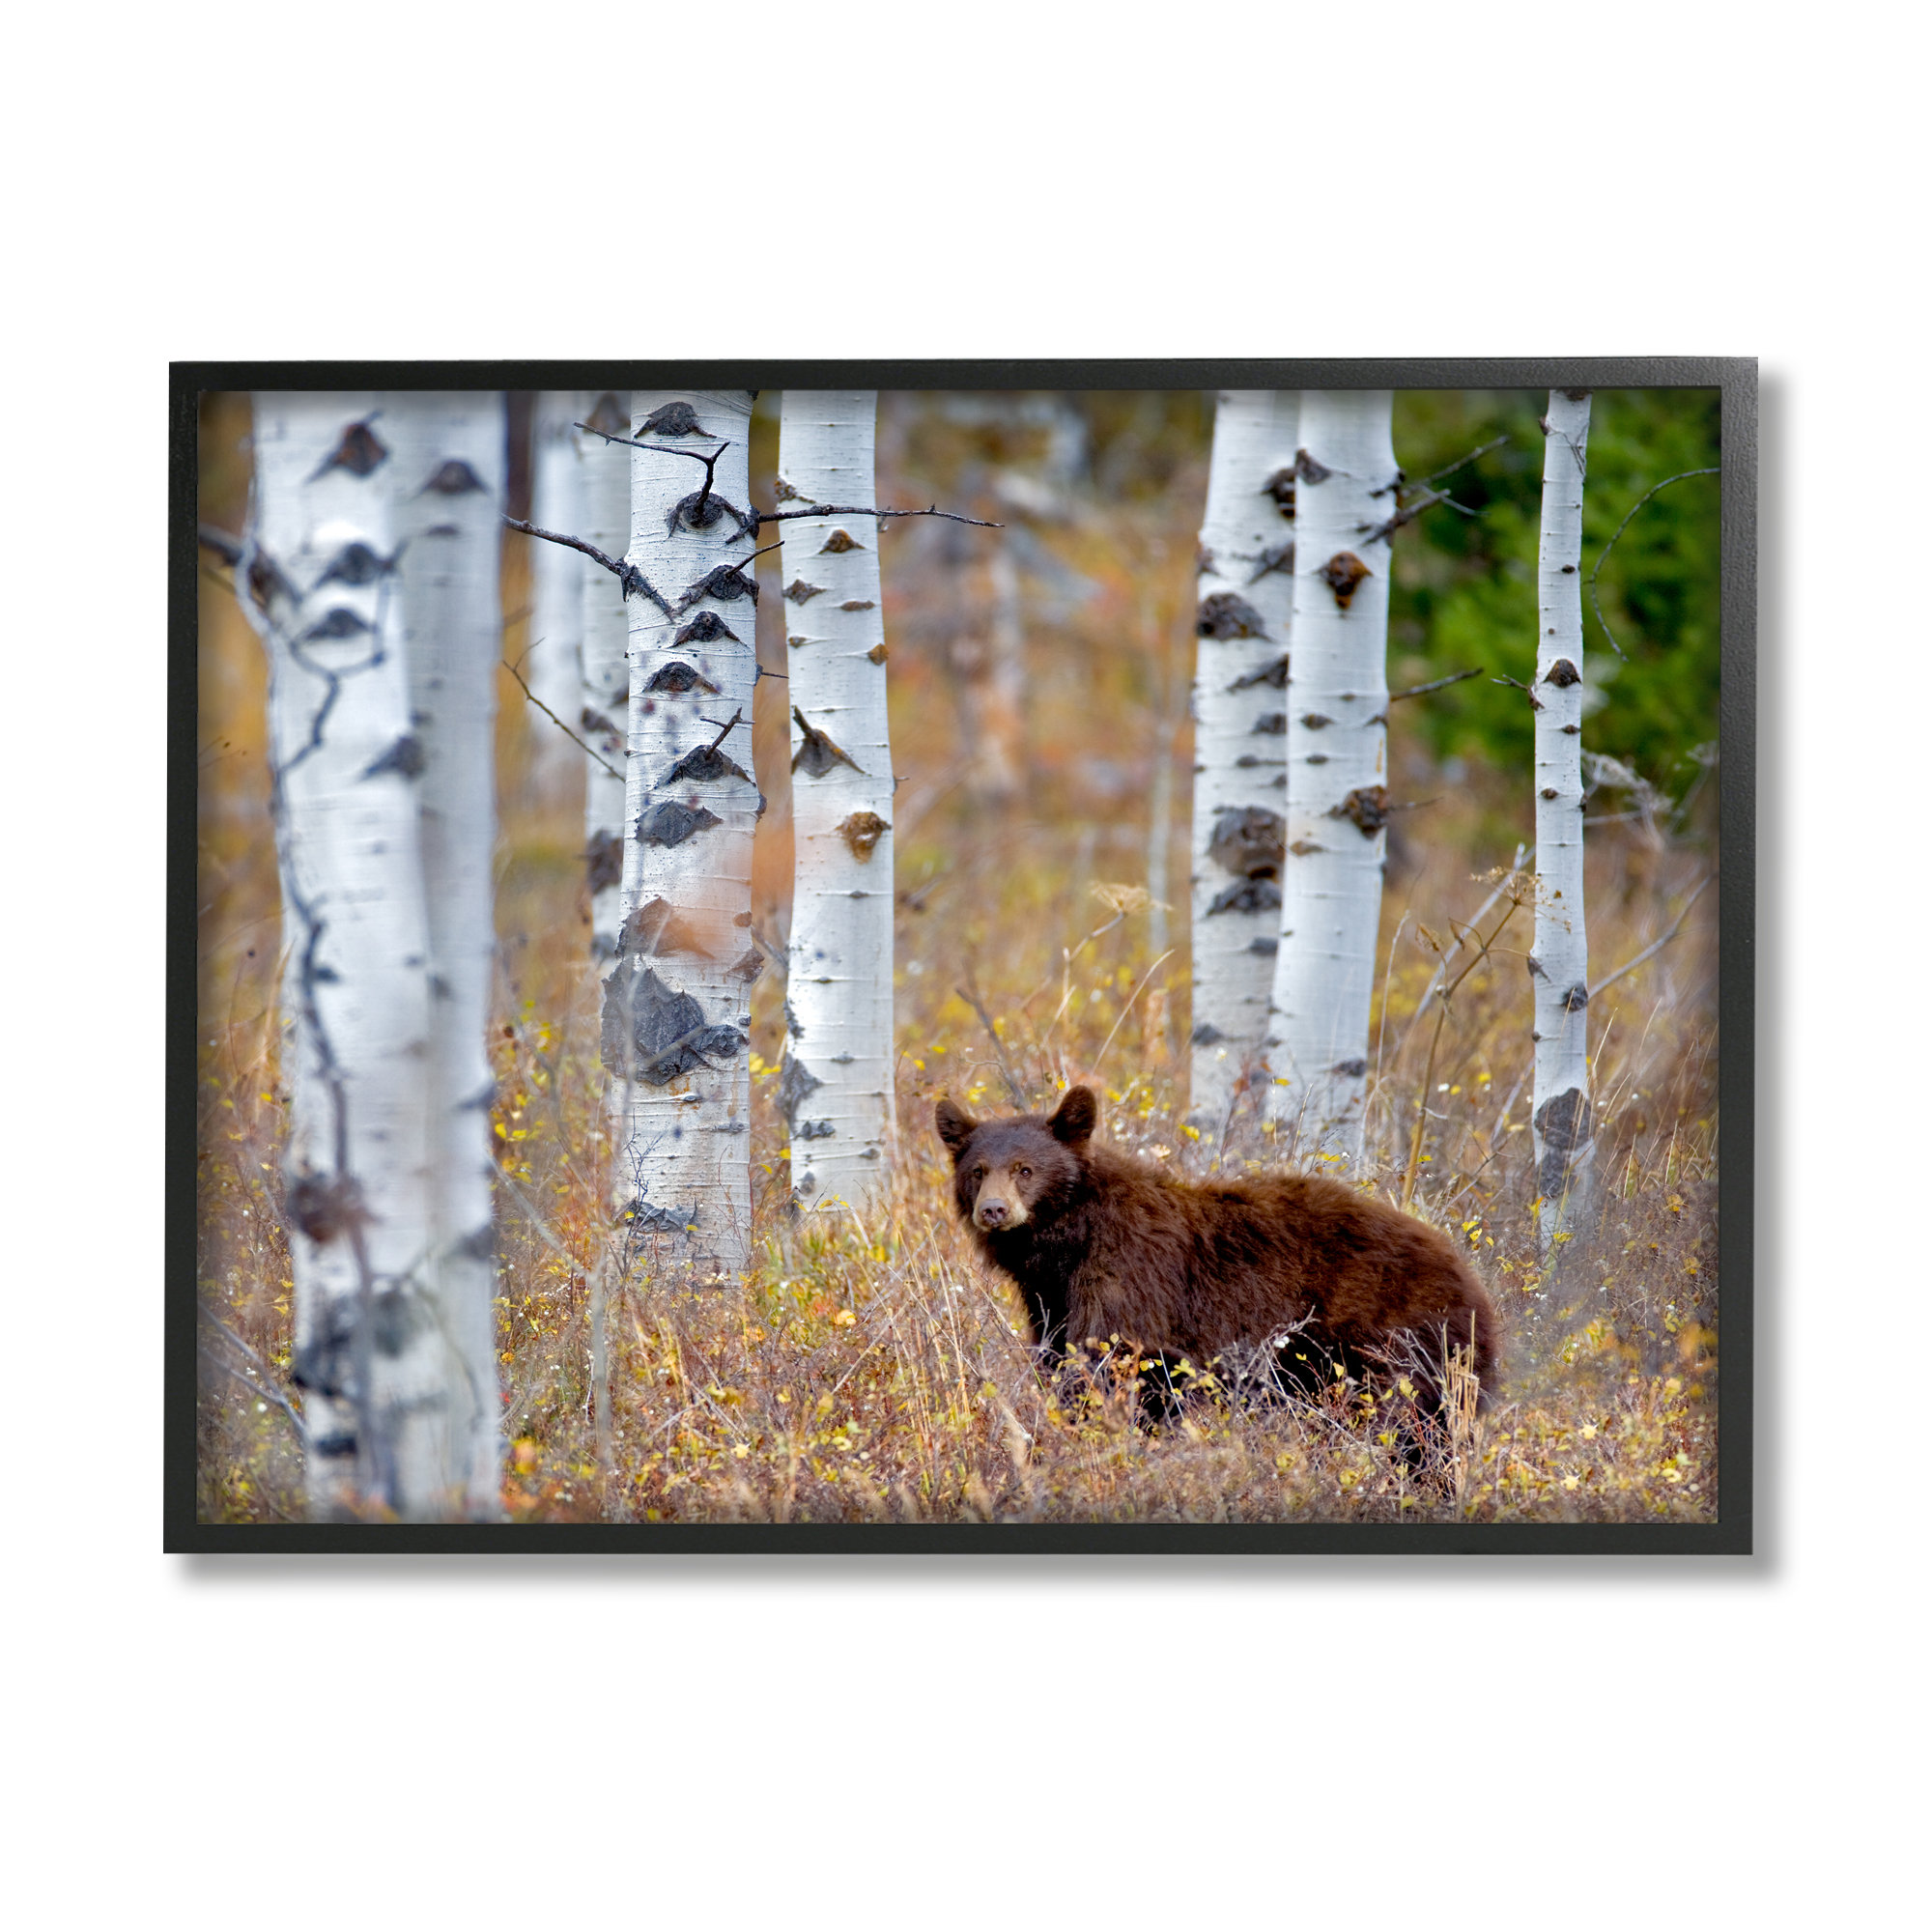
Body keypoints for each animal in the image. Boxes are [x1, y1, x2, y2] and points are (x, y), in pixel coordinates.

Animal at [935, 1085, 1498, 1426]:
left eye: (1025, 1169)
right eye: (977, 1171)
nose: (994, 1210)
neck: (1068, 1242)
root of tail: (1471, 1282)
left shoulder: (1130, 1279)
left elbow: (1109, 1361)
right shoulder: (1049, 1300)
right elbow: (1061, 1358)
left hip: (1393, 1340)